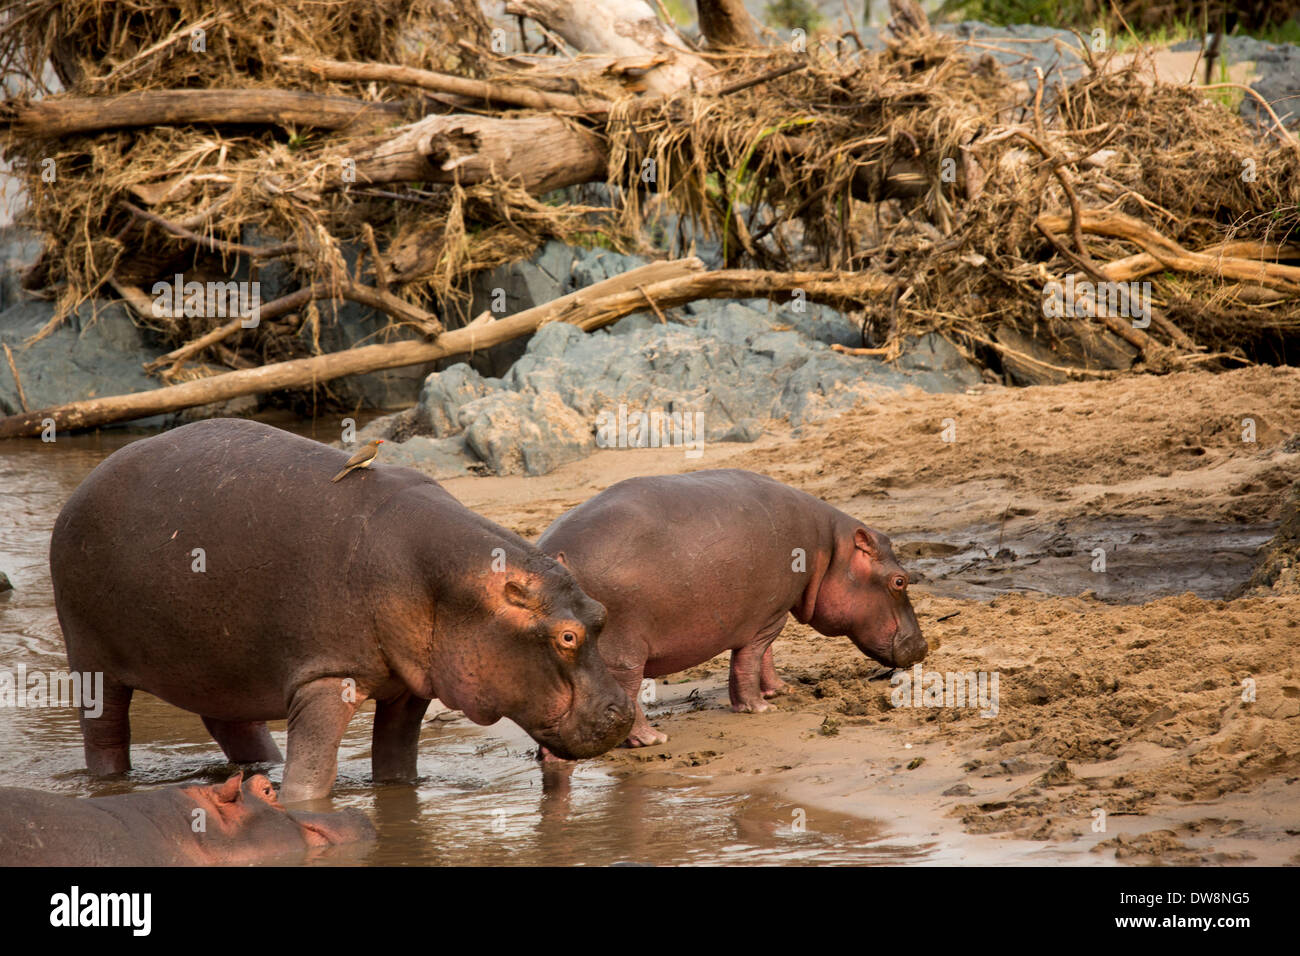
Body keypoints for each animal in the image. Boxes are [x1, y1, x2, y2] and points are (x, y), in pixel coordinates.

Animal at [50, 418, 633, 801]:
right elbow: (311, 775)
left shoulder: (408, 687)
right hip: (92, 660)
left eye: (600, 614)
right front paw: (297, 806)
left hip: (216, 665)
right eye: (565, 637)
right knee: (105, 732)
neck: (448, 582)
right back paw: (109, 783)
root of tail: (82, 486)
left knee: (234, 725)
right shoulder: (326, 678)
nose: (624, 712)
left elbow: (395, 762)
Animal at [537, 469, 926, 747]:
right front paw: (760, 707)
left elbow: (765, 657)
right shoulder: (770, 617)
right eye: (900, 580)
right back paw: (653, 739)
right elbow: (749, 661)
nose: (924, 645)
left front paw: (780, 690)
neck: (829, 549)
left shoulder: (766, 612)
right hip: (624, 654)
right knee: (629, 692)